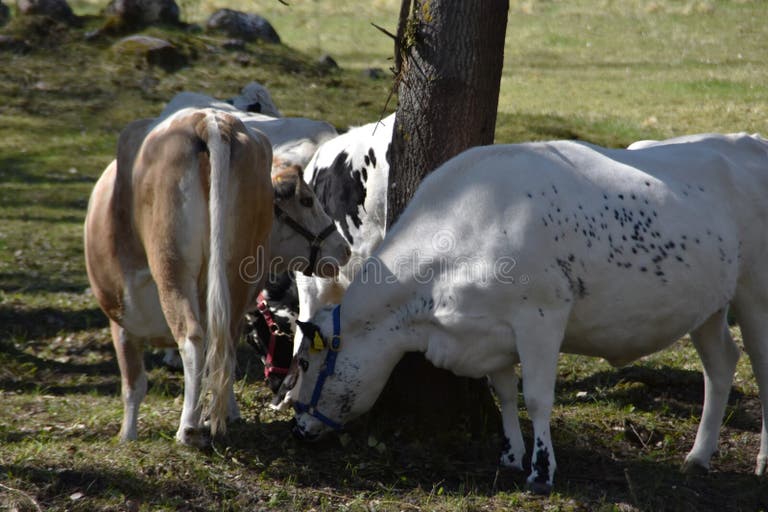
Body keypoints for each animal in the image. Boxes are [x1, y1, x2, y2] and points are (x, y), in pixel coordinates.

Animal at [84, 107, 349, 446]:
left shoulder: (120, 318)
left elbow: (133, 383)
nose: (344, 248)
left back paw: (188, 428)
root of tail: (208, 120)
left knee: (193, 338)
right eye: (306, 200)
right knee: (221, 346)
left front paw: (127, 436)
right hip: (234, 272)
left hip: (171, 267)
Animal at [286, 133, 768, 494]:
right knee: (721, 363)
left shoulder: (541, 317)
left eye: (306, 361)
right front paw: (511, 455)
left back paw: (762, 461)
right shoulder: (489, 333)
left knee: (761, 370)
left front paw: (541, 471)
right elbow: (503, 392)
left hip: (755, 294)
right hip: (708, 303)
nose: (298, 428)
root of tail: (749, 140)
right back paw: (698, 456)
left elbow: (536, 398)